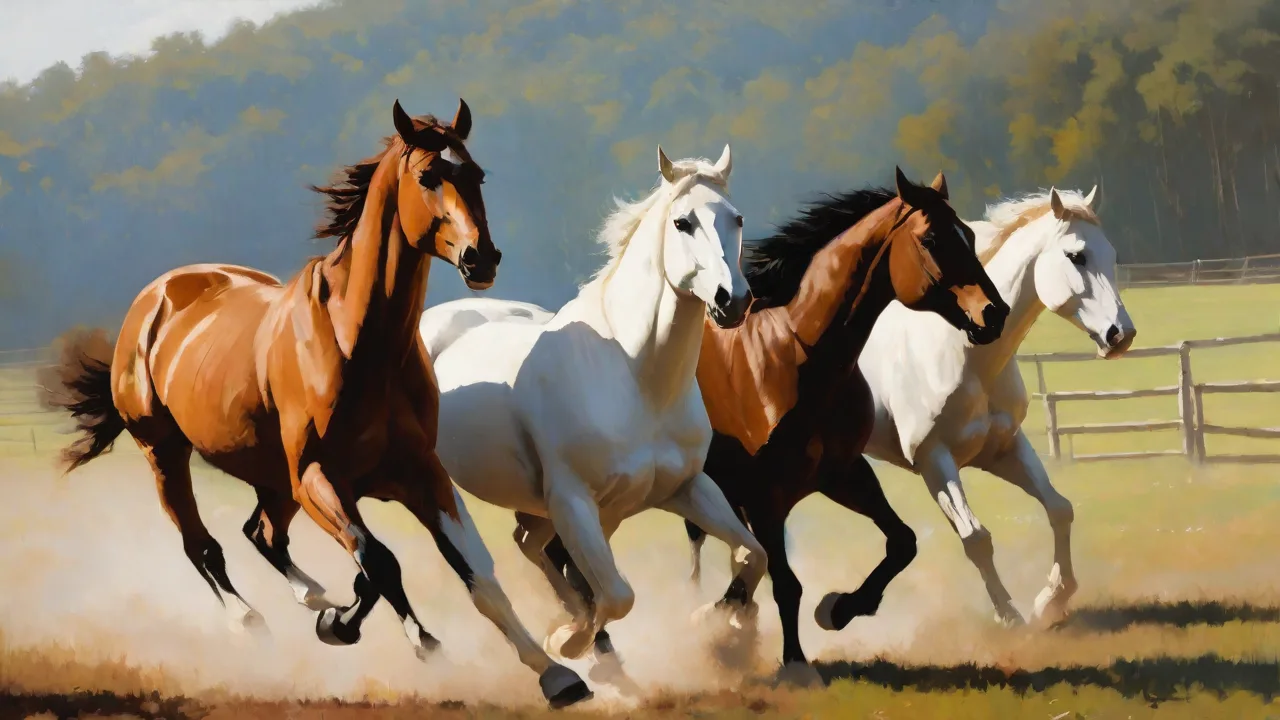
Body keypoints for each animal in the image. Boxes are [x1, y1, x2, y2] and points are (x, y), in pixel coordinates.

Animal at [38, 99, 593, 709]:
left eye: (477, 175)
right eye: (429, 176)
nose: (482, 259)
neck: (359, 345)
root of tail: (156, 296)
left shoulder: (419, 473)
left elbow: (473, 571)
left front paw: (556, 674)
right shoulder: (317, 476)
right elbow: (379, 562)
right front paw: (360, 629)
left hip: (272, 477)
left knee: (262, 532)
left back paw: (318, 598)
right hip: (166, 453)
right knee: (203, 546)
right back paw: (255, 622)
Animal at [419, 145, 763, 681]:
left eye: (737, 218)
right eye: (682, 222)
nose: (734, 301)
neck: (634, 375)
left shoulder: (686, 488)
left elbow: (753, 554)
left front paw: (718, 619)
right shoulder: (573, 501)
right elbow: (618, 595)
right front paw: (569, 642)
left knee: (528, 542)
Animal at [513, 168, 1010, 680]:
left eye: (968, 234)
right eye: (930, 239)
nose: (993, 313)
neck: (795, 358)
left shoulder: (844, 474)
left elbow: (901, 543)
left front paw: (838, 608)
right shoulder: (764, 496)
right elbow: (783, 580)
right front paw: (790, 660)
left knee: (565, 560)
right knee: (565, 560)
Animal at [853, 186, 1135, 628]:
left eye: (1112, 254)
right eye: (1077, 256)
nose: (1121, 334)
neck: (961, 353)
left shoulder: (1004, 448)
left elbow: (1059, 509)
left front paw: (1050, 600)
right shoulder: (935, 461)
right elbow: (976, 538)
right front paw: (1010, 616)